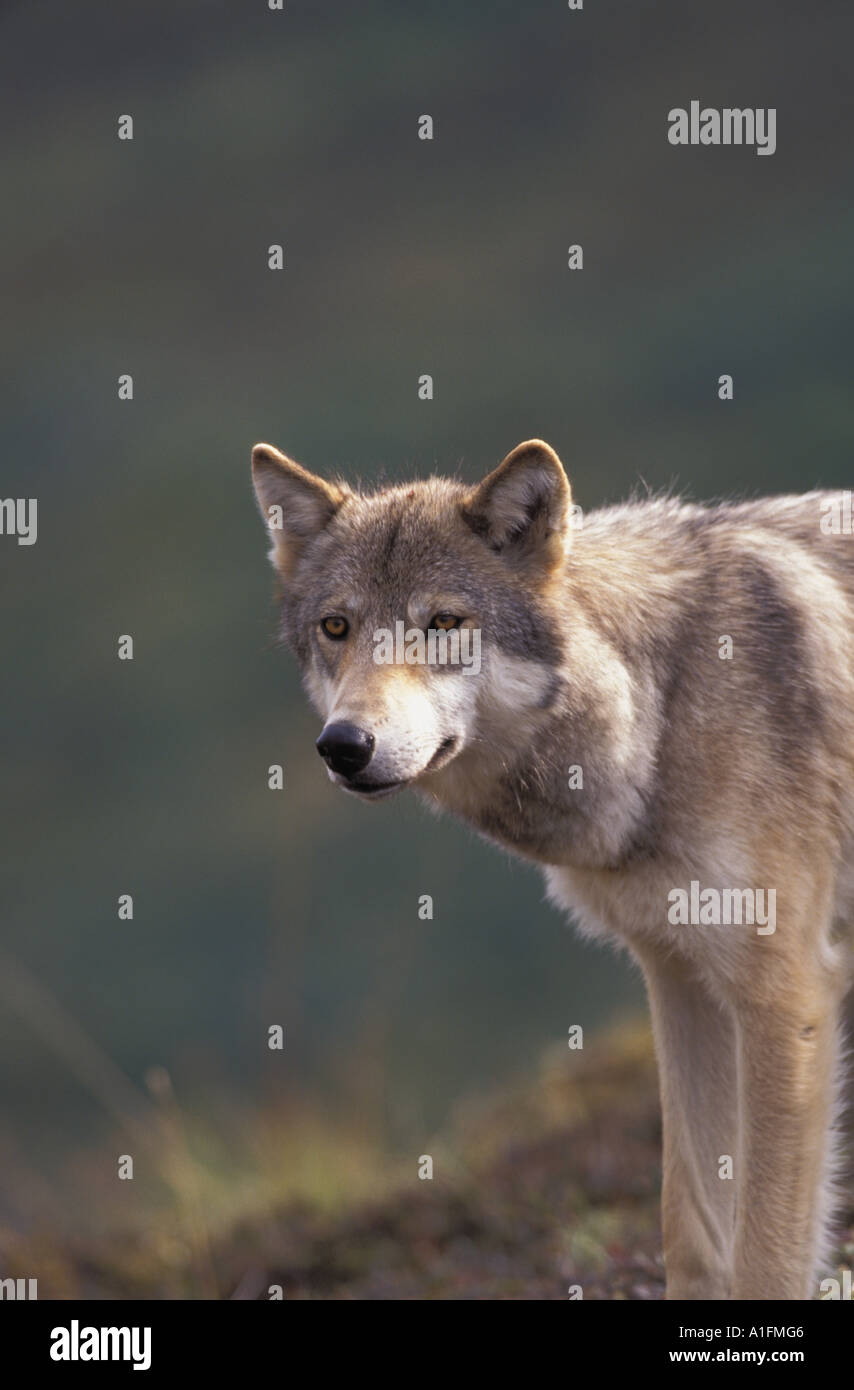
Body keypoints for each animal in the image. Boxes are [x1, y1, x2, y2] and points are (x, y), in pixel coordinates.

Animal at [251, 437, 854, 1300]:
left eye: (443, 623)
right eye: (337, 626)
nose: (344, 745)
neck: (660, 709)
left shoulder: (784, 996)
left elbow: (765, 1255)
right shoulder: (680, 978)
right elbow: (691, 1228)